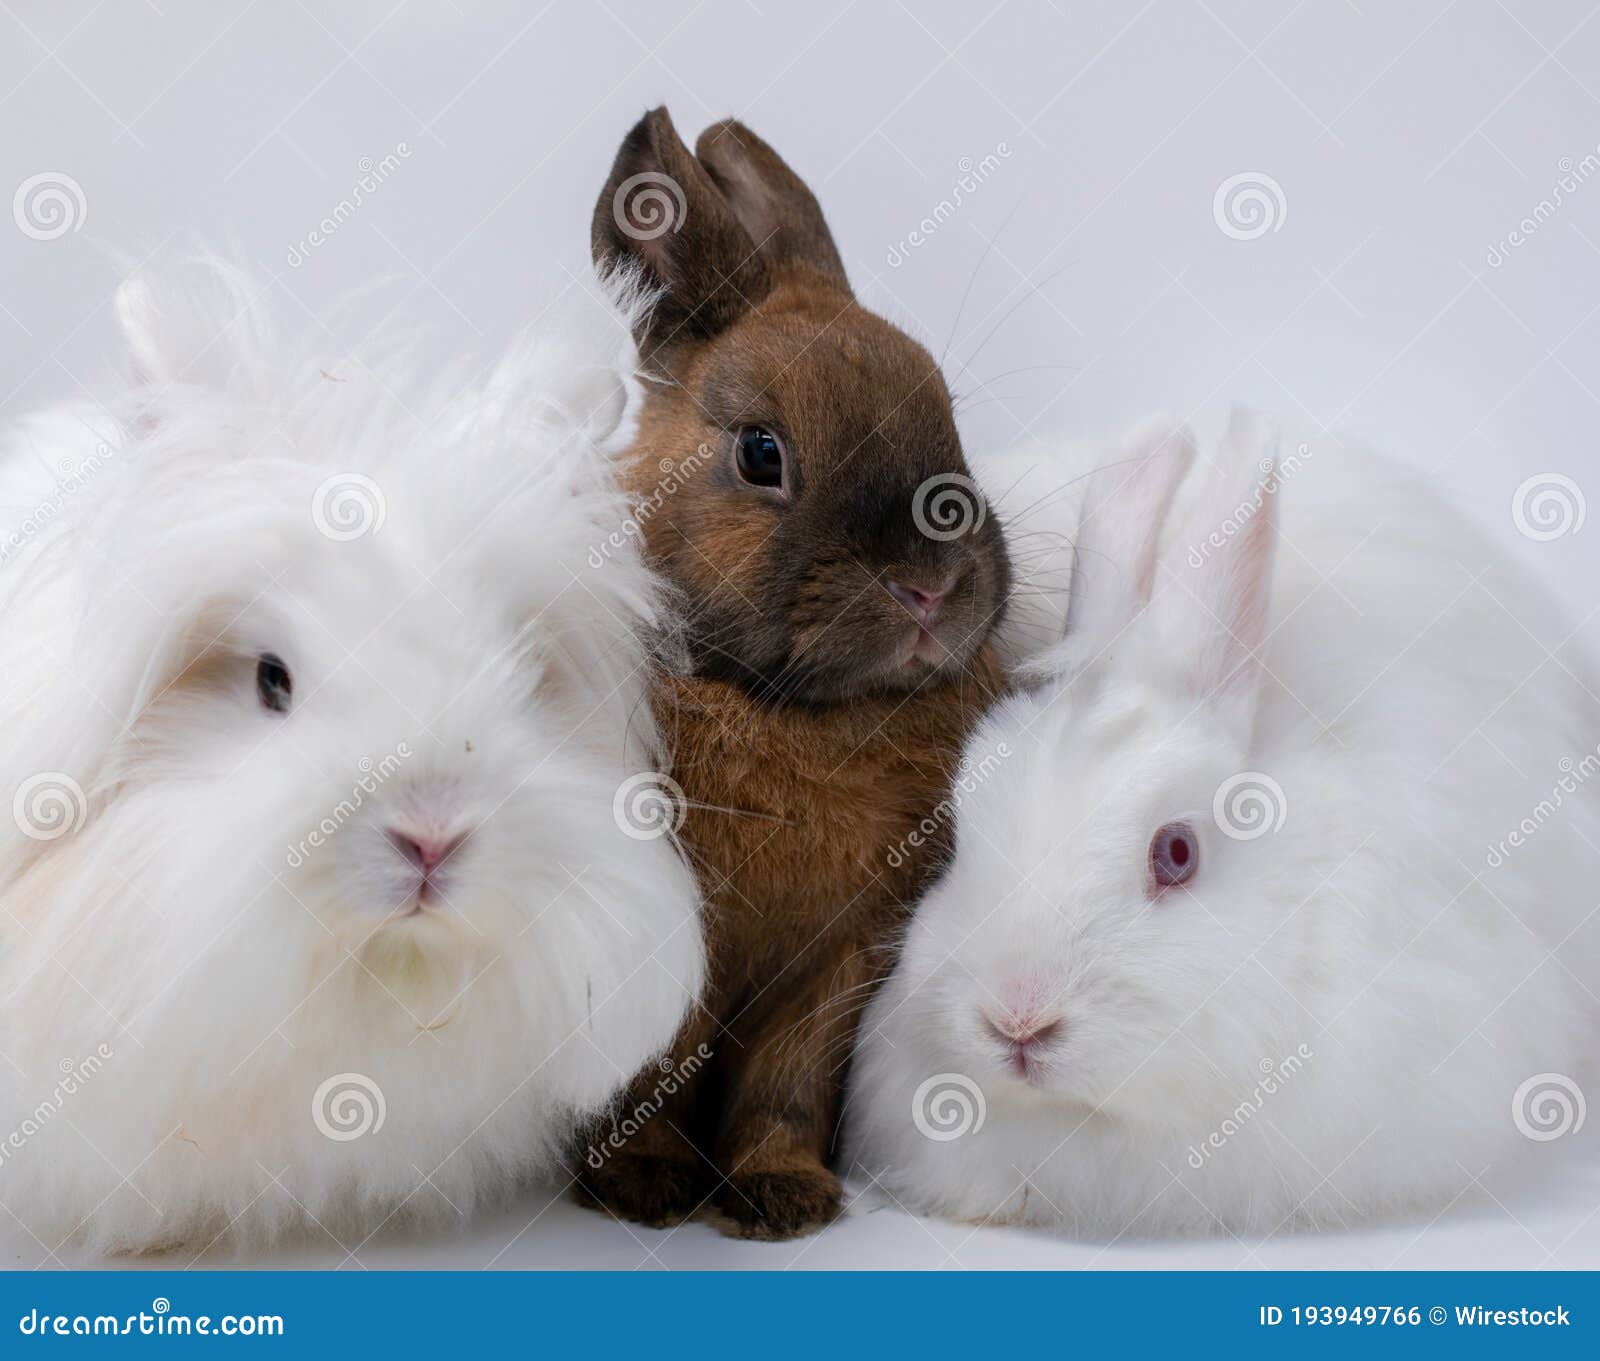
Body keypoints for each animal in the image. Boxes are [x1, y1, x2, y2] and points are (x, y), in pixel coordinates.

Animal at [571, 108, 1014, 1240]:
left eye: (949, 420)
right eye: (761, 453)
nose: (929, 587)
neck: (788, 709)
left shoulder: (840, 961)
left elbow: (787, 1084)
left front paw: (781, 1198)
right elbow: (655, 1077)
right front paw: (643, 1188)